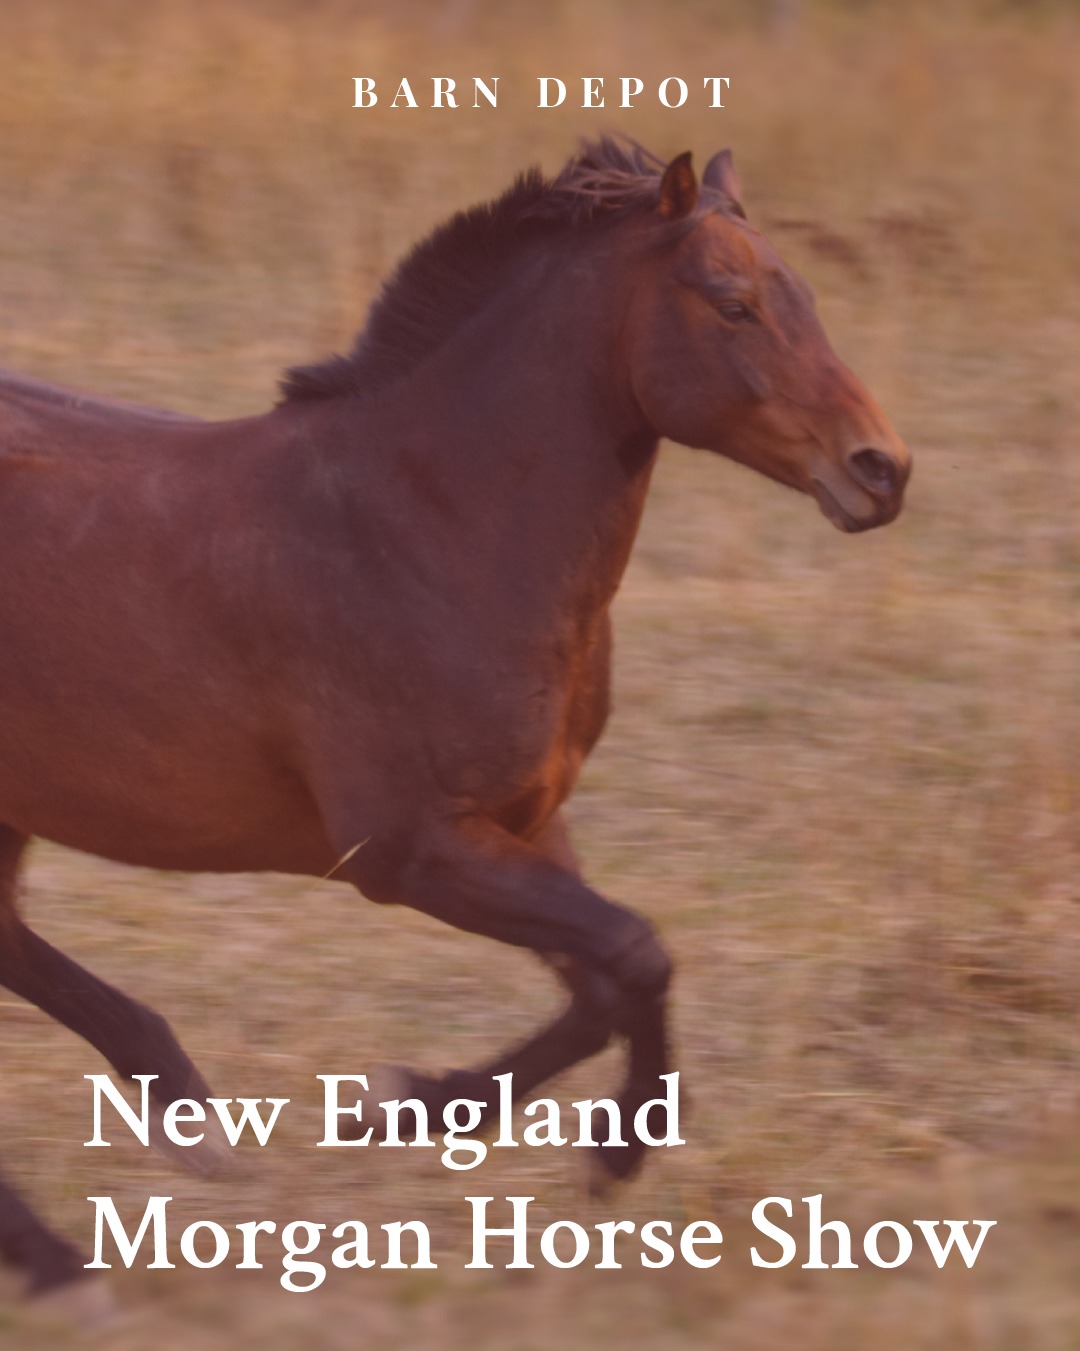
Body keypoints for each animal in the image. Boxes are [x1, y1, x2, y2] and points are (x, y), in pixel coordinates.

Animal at [0, 138, 909, 1296]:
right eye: (733, 303)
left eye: (805, 295)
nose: (880, 468)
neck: (423, 526)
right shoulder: (408, 851)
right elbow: (637, 952)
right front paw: (599, 1151)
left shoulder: (526, 823)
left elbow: (605, 982)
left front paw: (411, 1109)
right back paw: (74, 1255)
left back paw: (176, 1122)